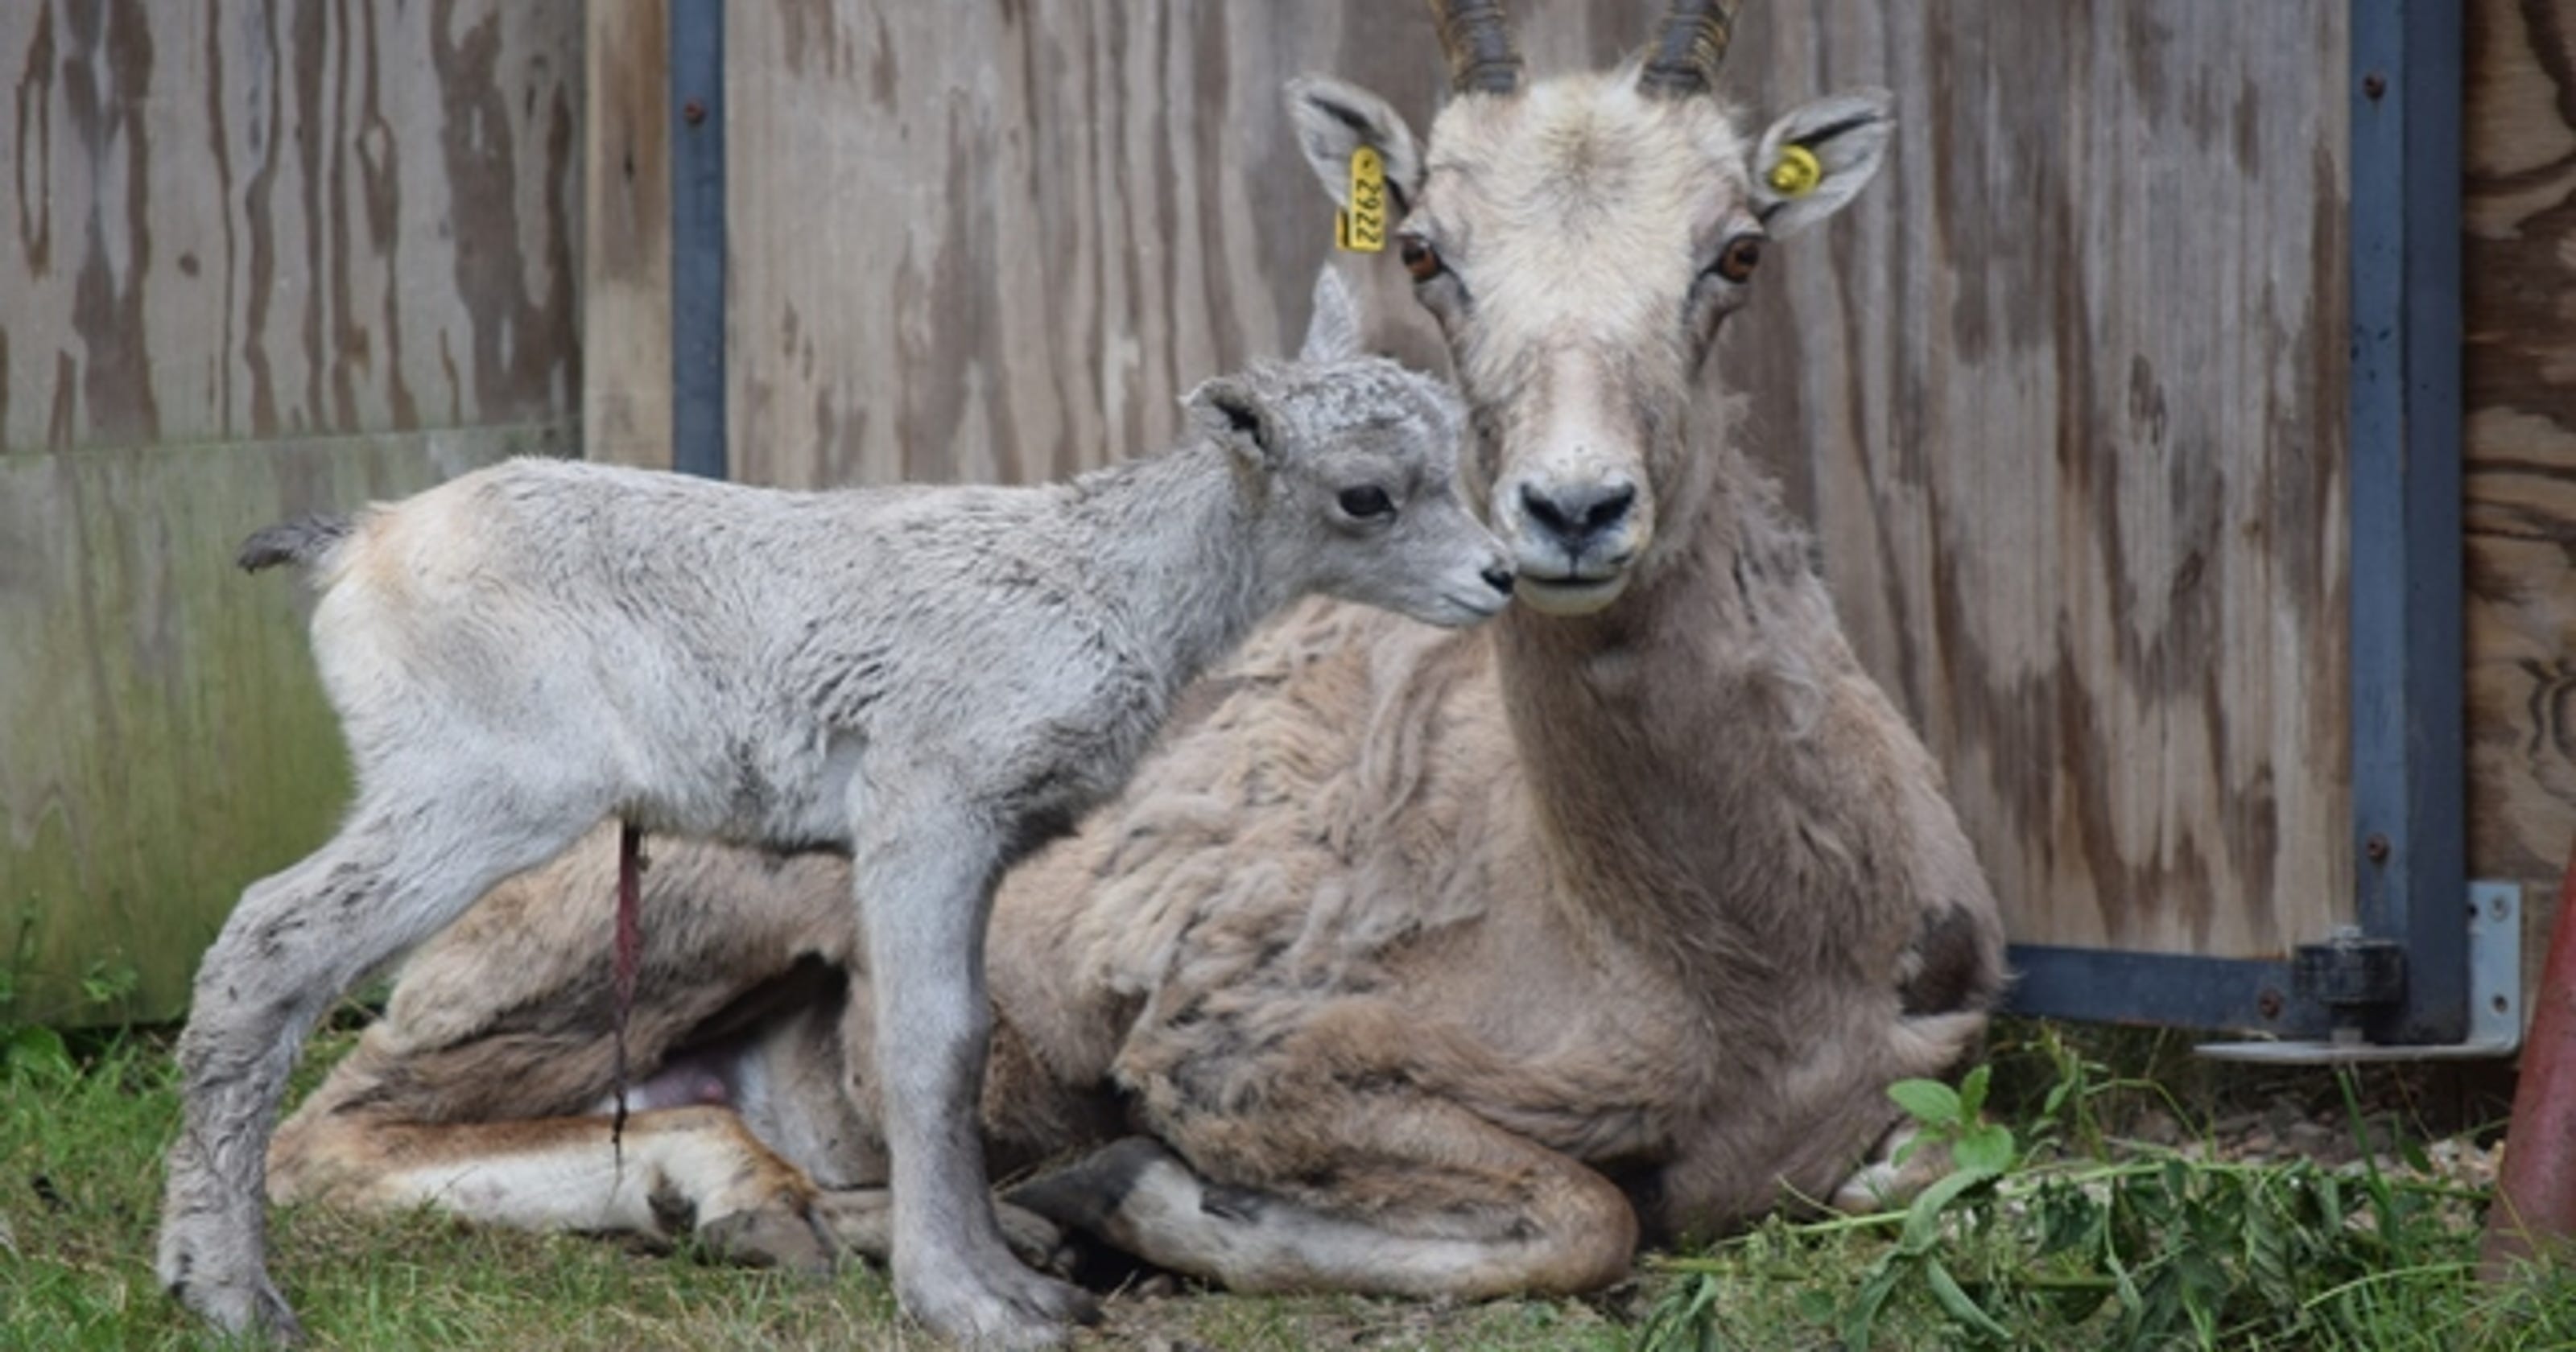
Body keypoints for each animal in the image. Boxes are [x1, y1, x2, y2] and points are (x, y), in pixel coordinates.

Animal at [155, 269, 1516, 1350]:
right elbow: (931, 1047)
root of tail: (357, 546)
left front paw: (1024, 1283)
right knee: (270, 947)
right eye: (1365, 495)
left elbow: (957, 1045)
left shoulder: (982, 844)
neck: (1107, 586)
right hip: (476, 793)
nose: (1499, 576)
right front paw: (973, 1306)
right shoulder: (927, 808)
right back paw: (230, 1296)